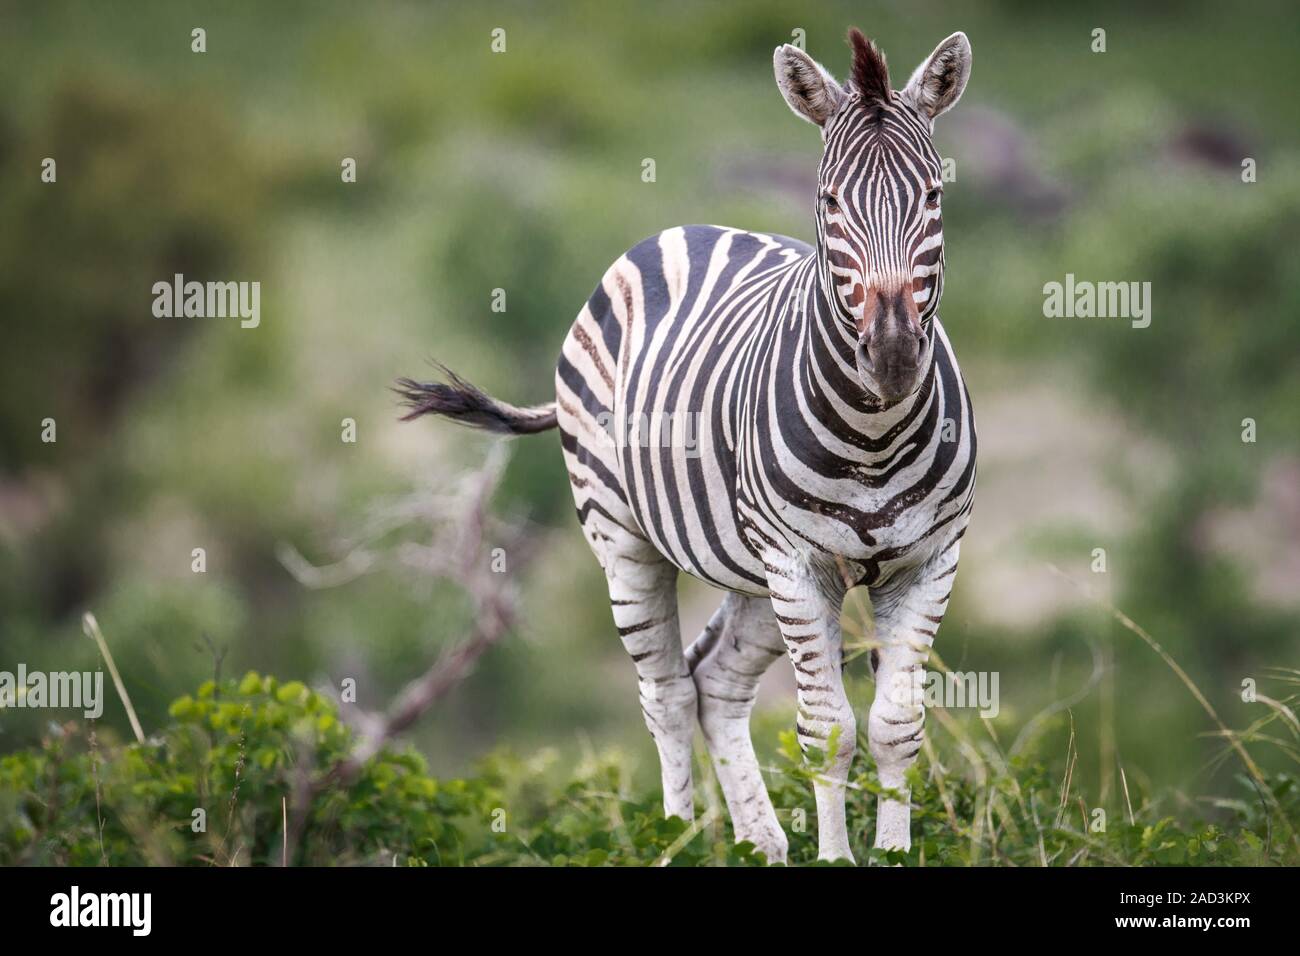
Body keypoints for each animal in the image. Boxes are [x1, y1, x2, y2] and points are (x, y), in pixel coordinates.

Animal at [397, 28, 975, 864]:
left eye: (933, 196)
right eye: (830, 203)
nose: (894, 351)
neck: (875, 436)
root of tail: (676, 232)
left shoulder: (928, 560)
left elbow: (896, 728)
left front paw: (893, 852)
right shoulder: (798, 565)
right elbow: (827, 734)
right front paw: (836, 856)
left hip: (756, 575)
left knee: (716, 684)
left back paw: (761, 844)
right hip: (629, 538)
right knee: (667, 694)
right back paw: (673, 836)